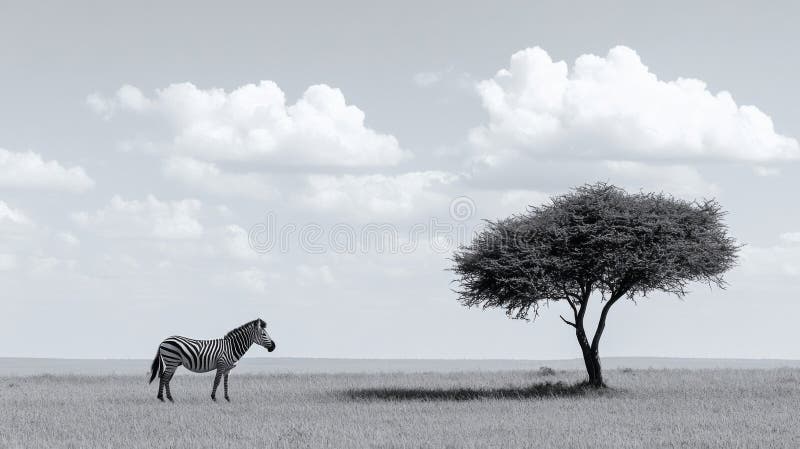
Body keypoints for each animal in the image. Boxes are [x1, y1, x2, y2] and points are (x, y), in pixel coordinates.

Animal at [148, 318, 276, 402]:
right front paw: (214, 398)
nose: (273, 347)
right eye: (264, 334)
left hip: (173, 363)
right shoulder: (221, 364)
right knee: (164, 377)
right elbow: (217, 381)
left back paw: (169, 398)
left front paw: (227, 398)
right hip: (171, 360)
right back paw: (162, 398)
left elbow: (225, 383)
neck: (231, 347)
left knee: (166, 378)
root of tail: (163, 341)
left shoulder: (228, 368)